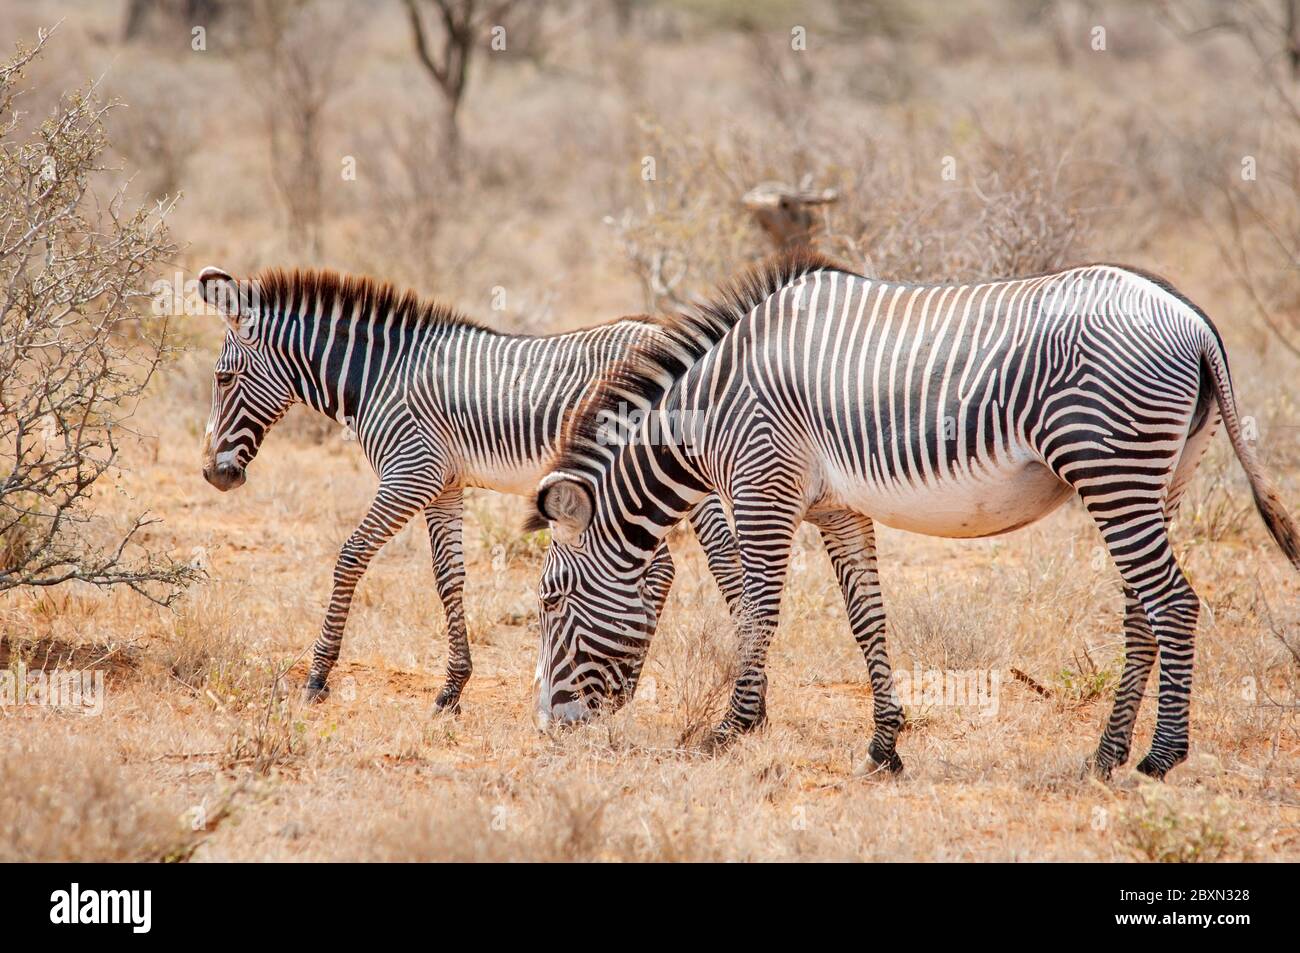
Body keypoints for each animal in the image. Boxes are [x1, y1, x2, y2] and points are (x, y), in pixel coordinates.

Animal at [196, 265, 743, 712]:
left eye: (223, 378)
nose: (213, 475)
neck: (379, 380)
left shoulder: (409, 473)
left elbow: (351, 555)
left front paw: (317, 677)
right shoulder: (443, 485)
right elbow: (449, 577)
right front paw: (452, 688)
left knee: (715, 562)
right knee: (668, 567)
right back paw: (629, 680)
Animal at [529, 248, 1300, 780]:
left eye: (551, 599)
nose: (546, 726)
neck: (712, 406)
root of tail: (1193, 319)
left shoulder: (761, 489)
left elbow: (755, 613)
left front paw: (732, 730)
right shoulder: (837, 510)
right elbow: (866, 618)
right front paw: (883, 746)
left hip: (1112, 468)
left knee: (1173, 602)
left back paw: (1161, 757)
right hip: (1163, 475)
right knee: (1142, 608)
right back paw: (1105, 755)